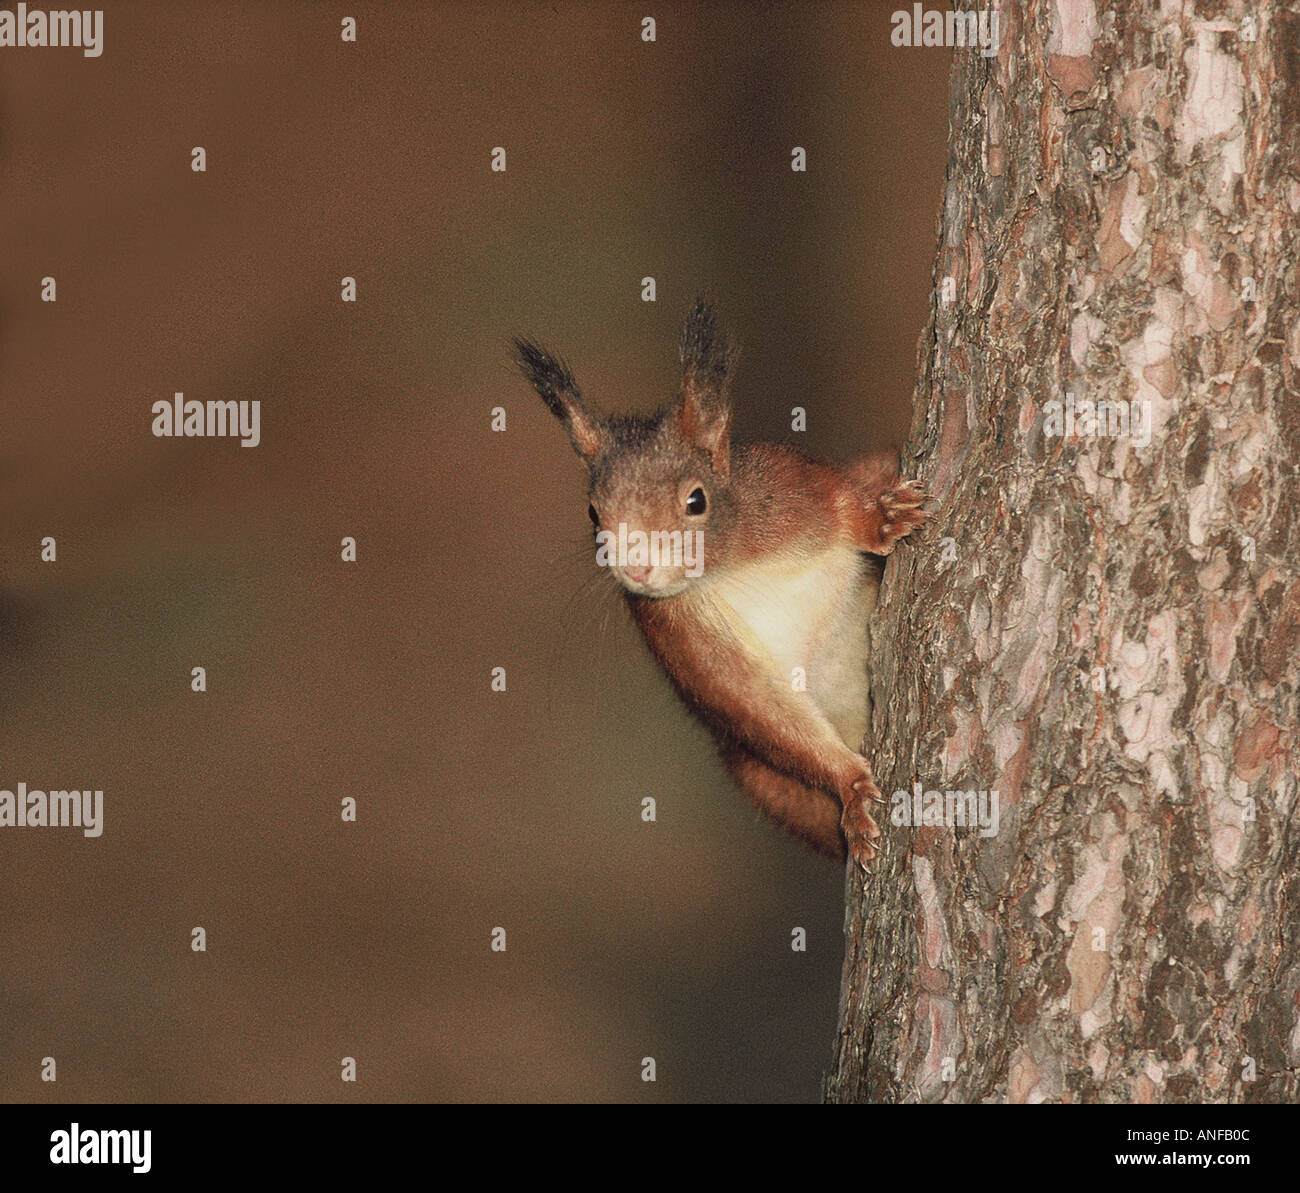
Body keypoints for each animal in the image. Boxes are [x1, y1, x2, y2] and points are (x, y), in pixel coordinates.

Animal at [513, 301, 927, 866]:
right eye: (594, 513)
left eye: (696, 500)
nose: (636, 569)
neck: (735, 570)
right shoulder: (687, 640)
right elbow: (762, 709)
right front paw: (853, 793)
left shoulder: (792, 487)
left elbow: (844, 500)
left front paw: (882, 520)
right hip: (768, 785)